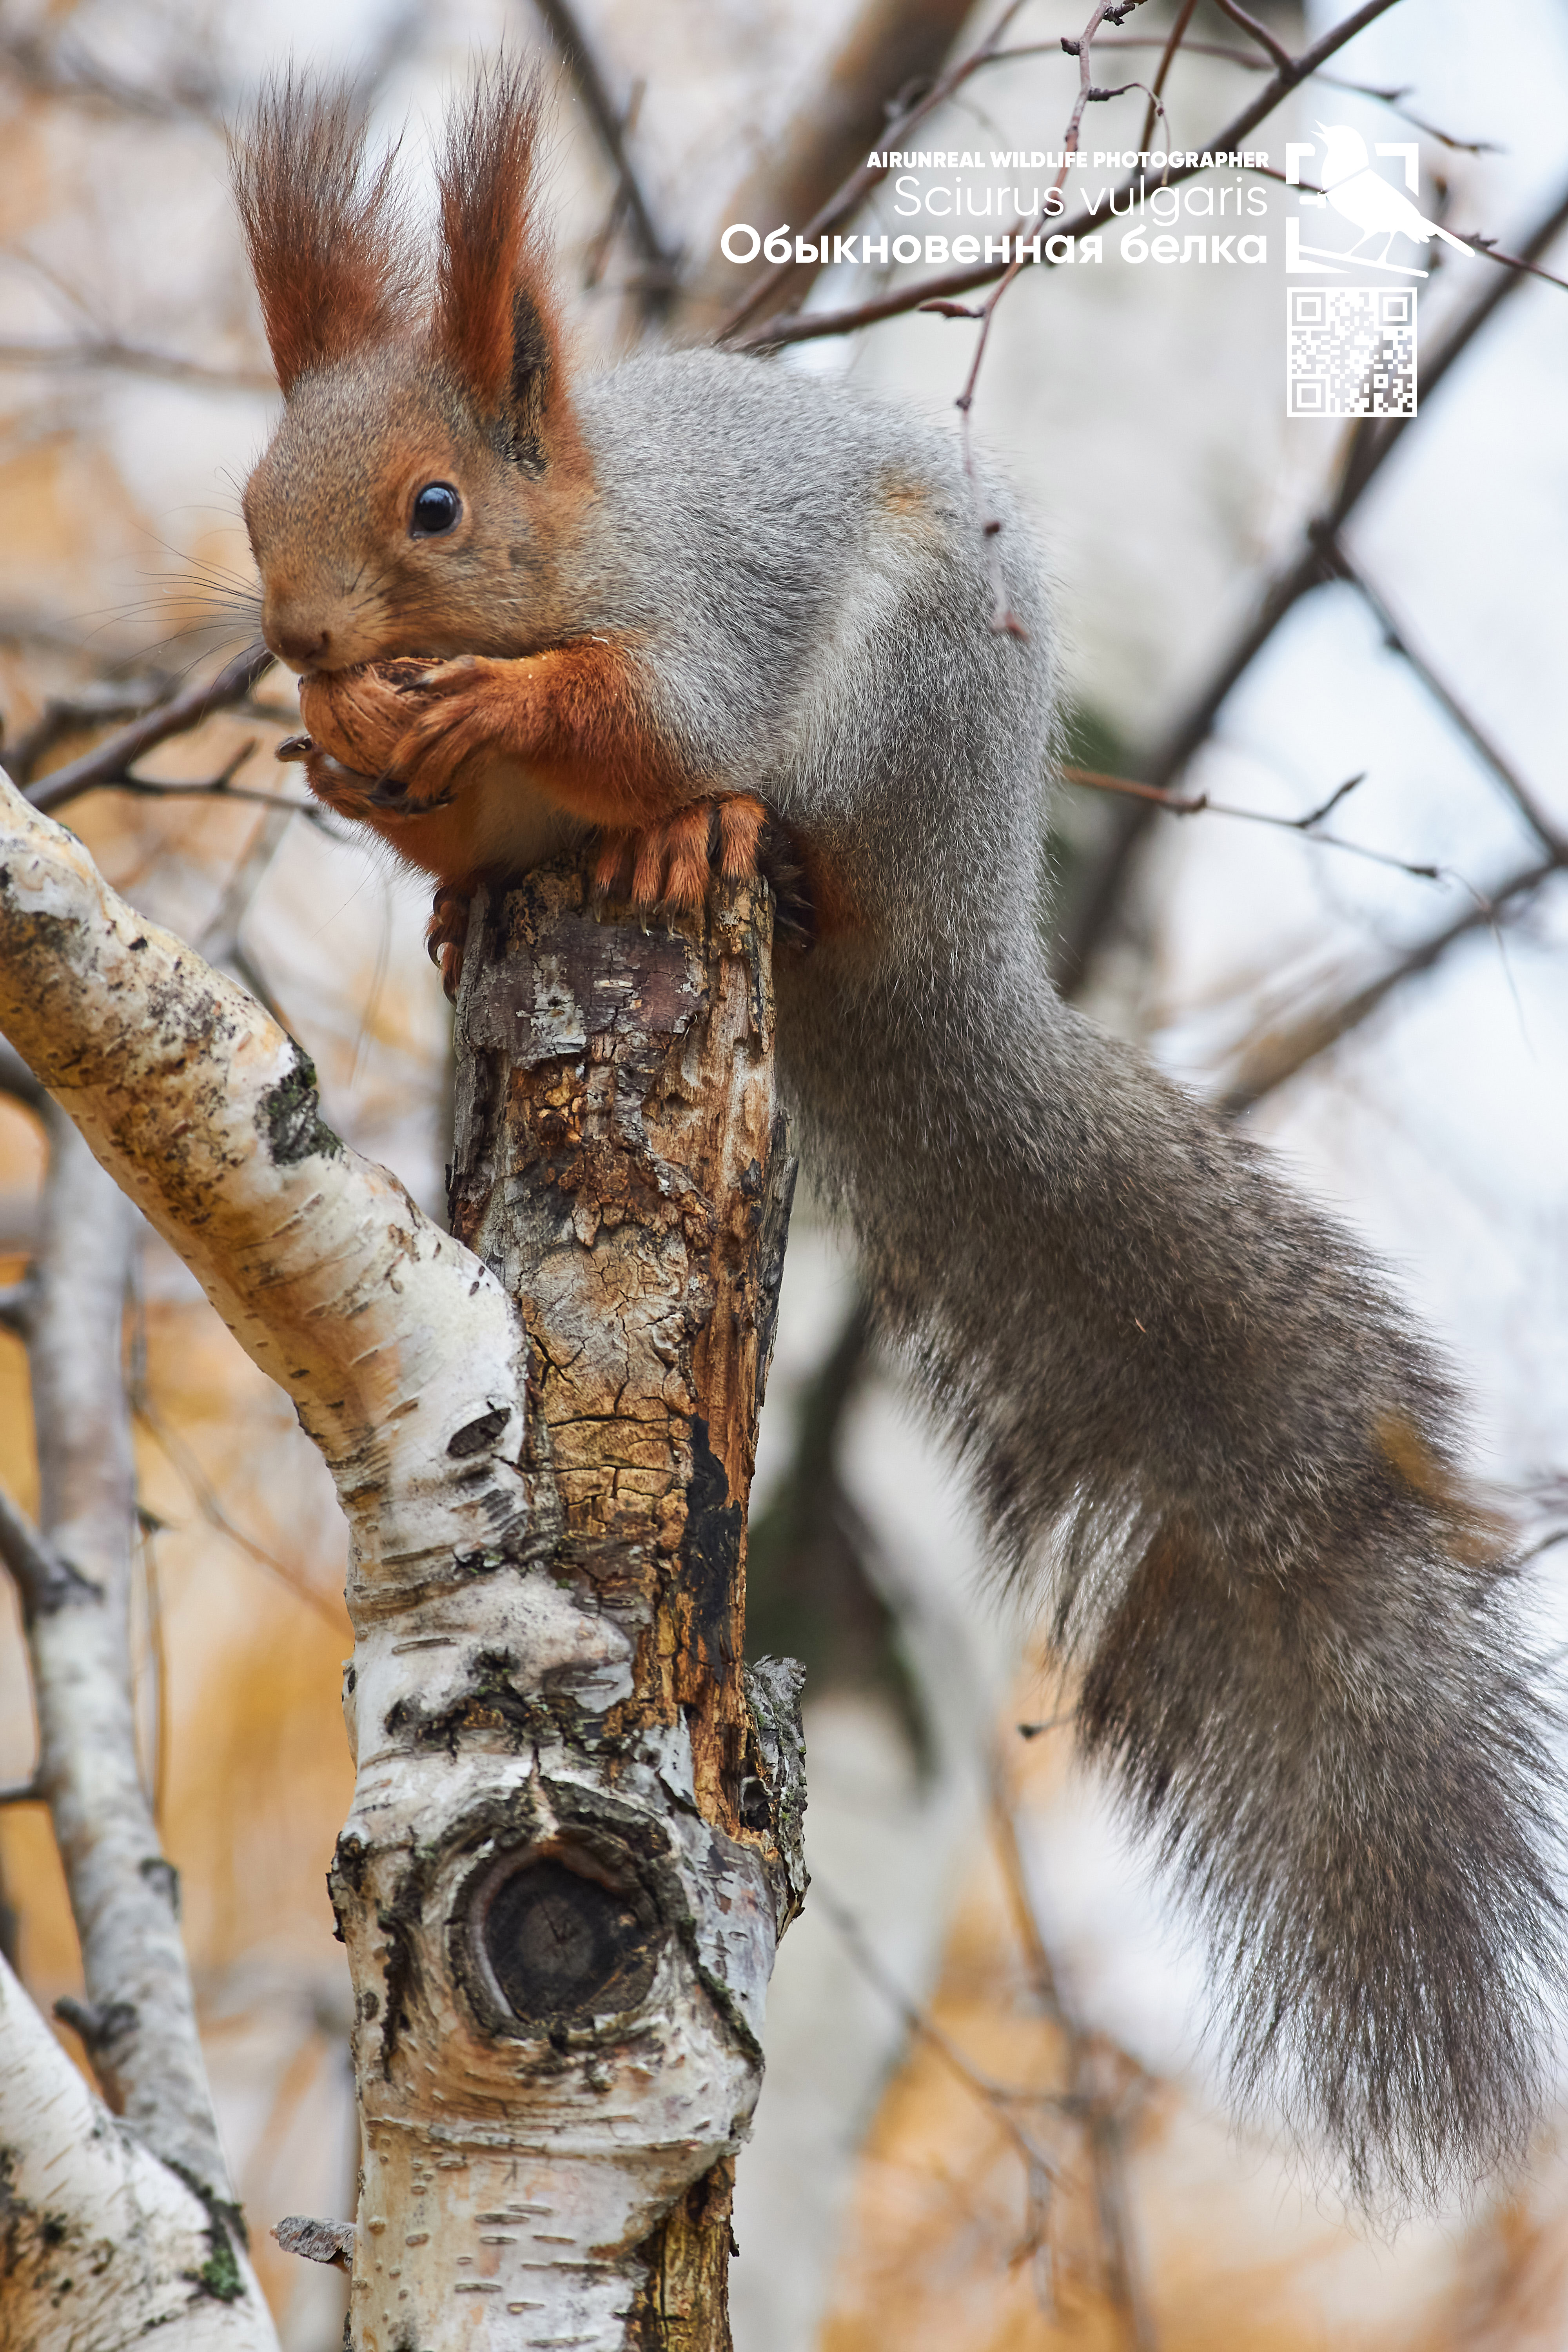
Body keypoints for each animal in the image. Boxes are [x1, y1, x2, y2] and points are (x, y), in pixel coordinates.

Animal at [227, 73, 1561, 2201]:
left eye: (433, 510)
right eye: (253, 508)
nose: (298, 635)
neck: (583, 521)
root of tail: (964, 934)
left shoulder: (702, 619)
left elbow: (634, 713)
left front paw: (488, 703)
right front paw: (355, 755)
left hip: (889, 708)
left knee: (757, 813)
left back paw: (703, 838)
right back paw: (466, 903)